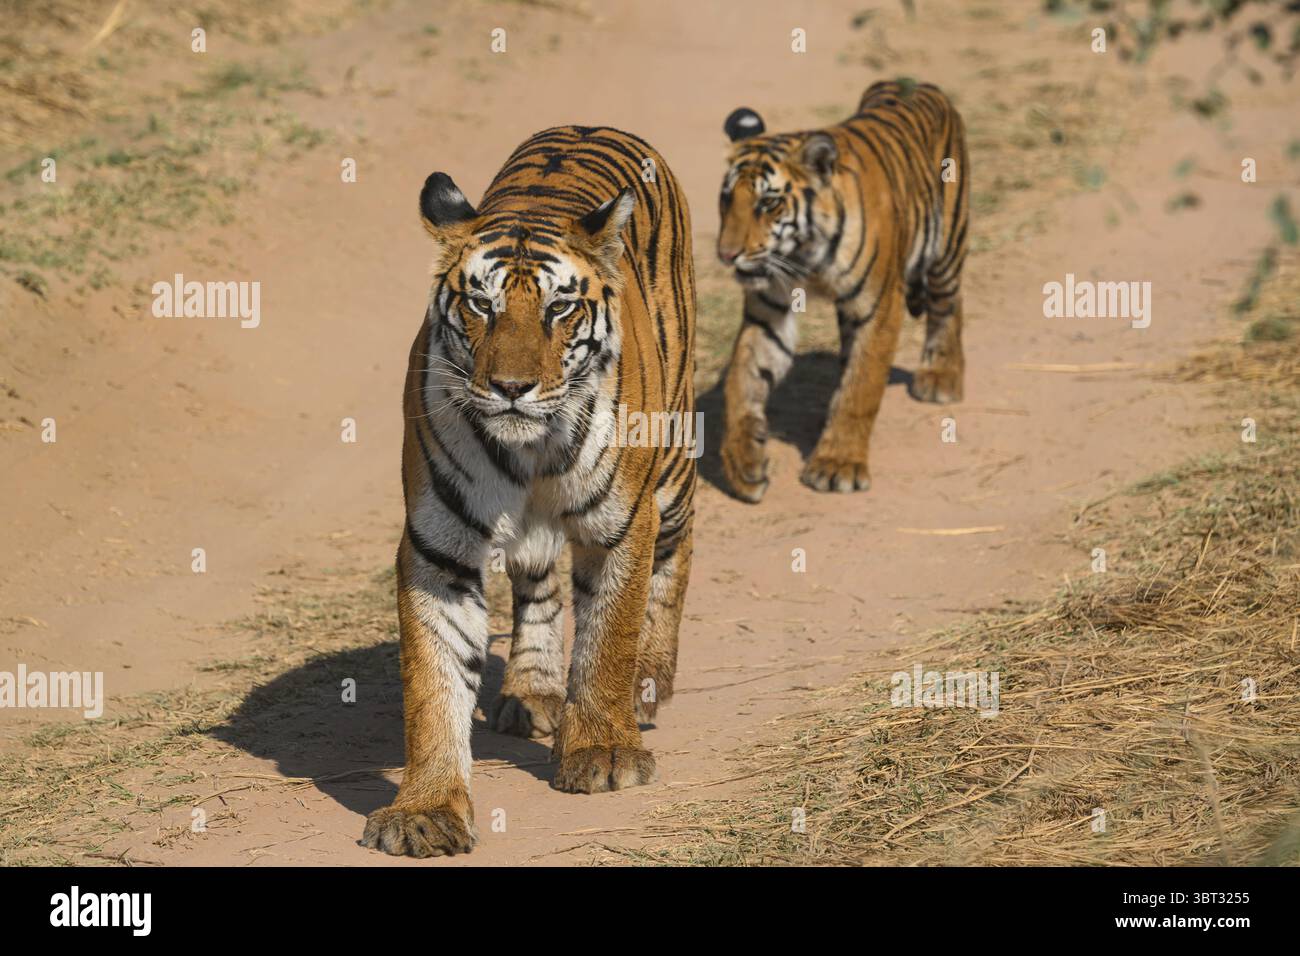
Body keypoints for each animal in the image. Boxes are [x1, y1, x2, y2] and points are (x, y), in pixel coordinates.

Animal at [361, 126, 697, 858]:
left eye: (560, 307)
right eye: (481, 305)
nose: (512, 387)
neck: (530, 447)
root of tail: (591, 124)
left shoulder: (620, 523)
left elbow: (608, 634)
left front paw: (602, 752)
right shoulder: (439, 547)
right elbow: (433, 685)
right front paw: (425, 810)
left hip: (673, 463)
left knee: (677, 551)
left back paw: (651, 680)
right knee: (539, 580)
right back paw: (533, 692)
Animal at [716, 79, 969, 502]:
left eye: (768, 203)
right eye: (726, 199)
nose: (726, 254)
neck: (804, 255)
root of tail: (915, 81)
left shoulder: (879, 307)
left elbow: (862, 388)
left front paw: (837, 466)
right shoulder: (769, 310)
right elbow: (742, 380)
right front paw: (743, 464)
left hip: (946, 246)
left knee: (948, 305)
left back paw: (941, 376)